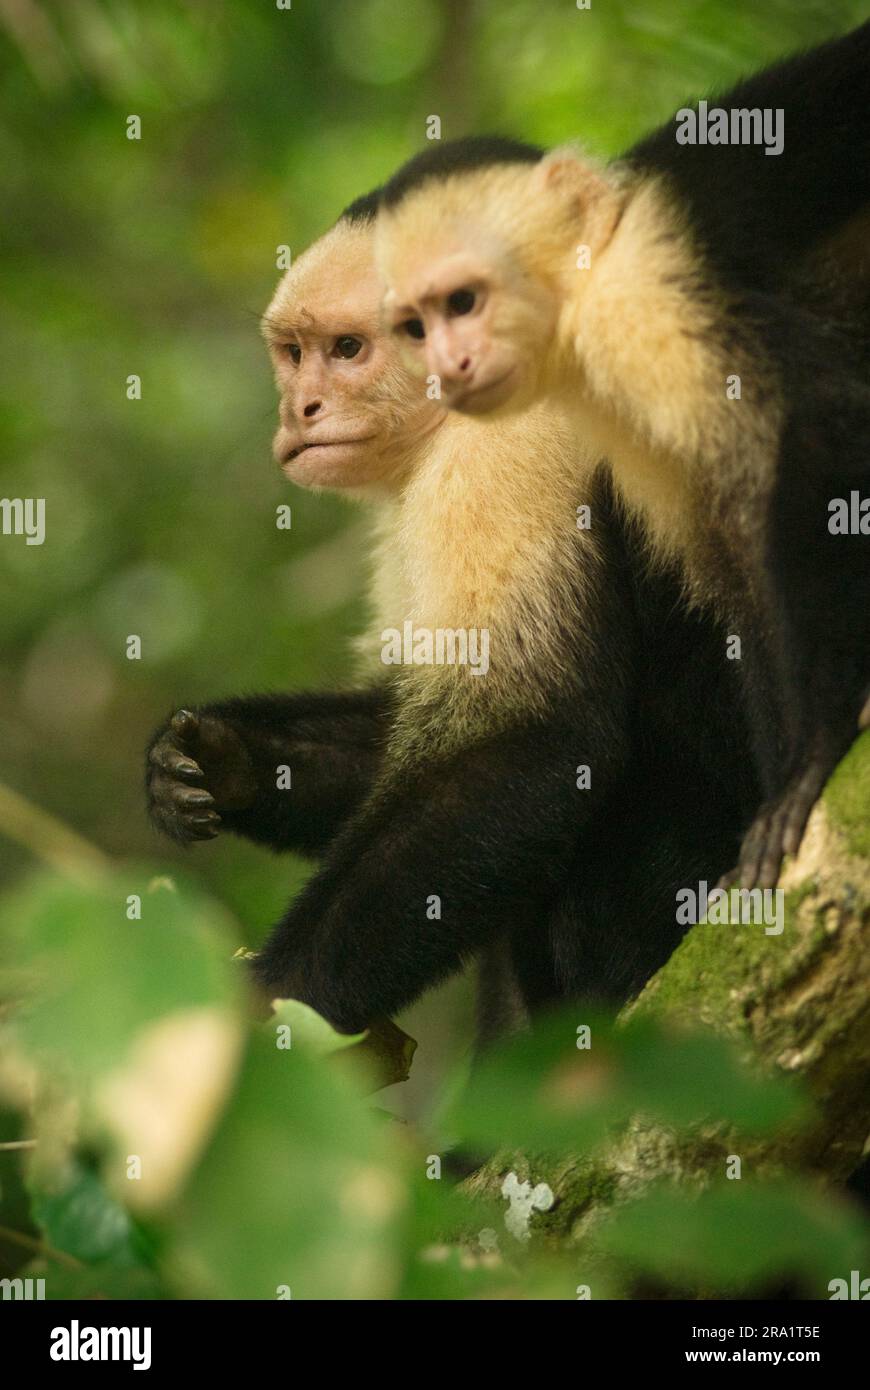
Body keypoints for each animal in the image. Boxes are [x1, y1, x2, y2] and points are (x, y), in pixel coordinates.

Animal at [147, 189, 760, 1036]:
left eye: (347, 349)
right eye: (295, 353)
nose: (300, 409)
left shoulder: (504, 450)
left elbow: (531, 742)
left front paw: (269, 1010)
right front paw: (216, 756)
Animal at [374, 32, 870, 893]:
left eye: (462, 303)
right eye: (413, 327)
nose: (448, 367)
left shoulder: (641, 300)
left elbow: (822, 417)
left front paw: (819, 749)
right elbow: (735, 571)